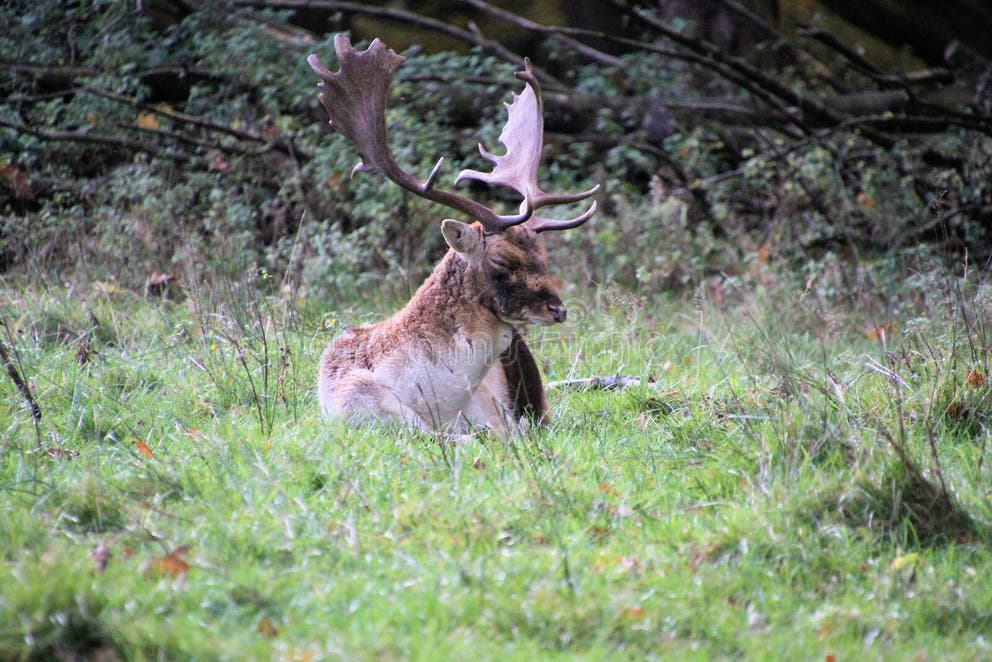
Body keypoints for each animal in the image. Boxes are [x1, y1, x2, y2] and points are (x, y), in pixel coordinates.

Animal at [308, 35, 598, 435]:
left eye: (543, 257)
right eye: (500, 261)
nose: (558, 309)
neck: (438, 403)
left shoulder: (501, 418)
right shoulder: (366, 416)